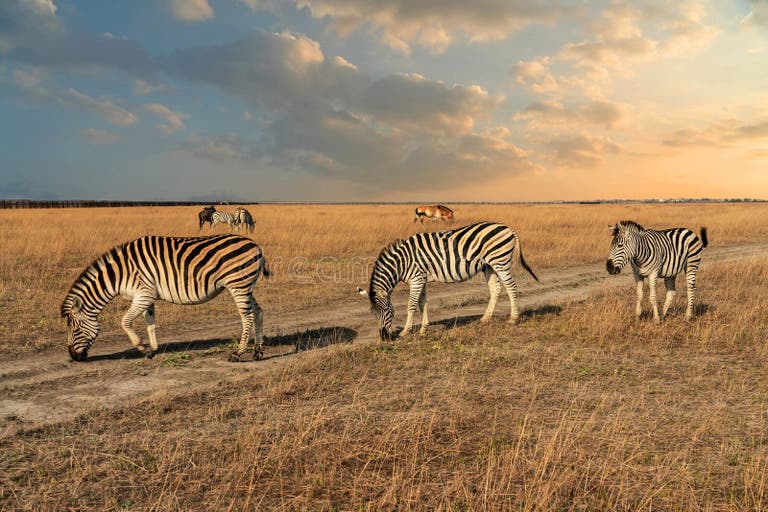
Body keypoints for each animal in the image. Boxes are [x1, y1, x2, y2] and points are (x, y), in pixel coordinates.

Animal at [61, 234, 269, 363]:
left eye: (74, 329)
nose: (73, 357)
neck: (120, 273)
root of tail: (255, 245)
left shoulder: (143, 295)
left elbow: (125, 322)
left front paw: (142, 348)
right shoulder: (147, 297)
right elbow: (150, 323)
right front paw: (152, 350)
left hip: (238, 285)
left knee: (247, 318)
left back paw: (237, 354)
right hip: (245, 287)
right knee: (258, 312)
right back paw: (258, 352)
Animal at [358, 221, 539, 340]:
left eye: (386, 310)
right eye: (373, 313)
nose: (384, 338)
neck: (402, 262)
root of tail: (508, 228)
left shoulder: (416, 279)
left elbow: (411, 306)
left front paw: (405, 331)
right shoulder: (421, 279)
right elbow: (423, 303)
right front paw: (424, 329)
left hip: (500, 261)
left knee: (511, 287)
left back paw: (513, 319)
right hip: (489, 265)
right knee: (496, 289)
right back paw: (485, 319)